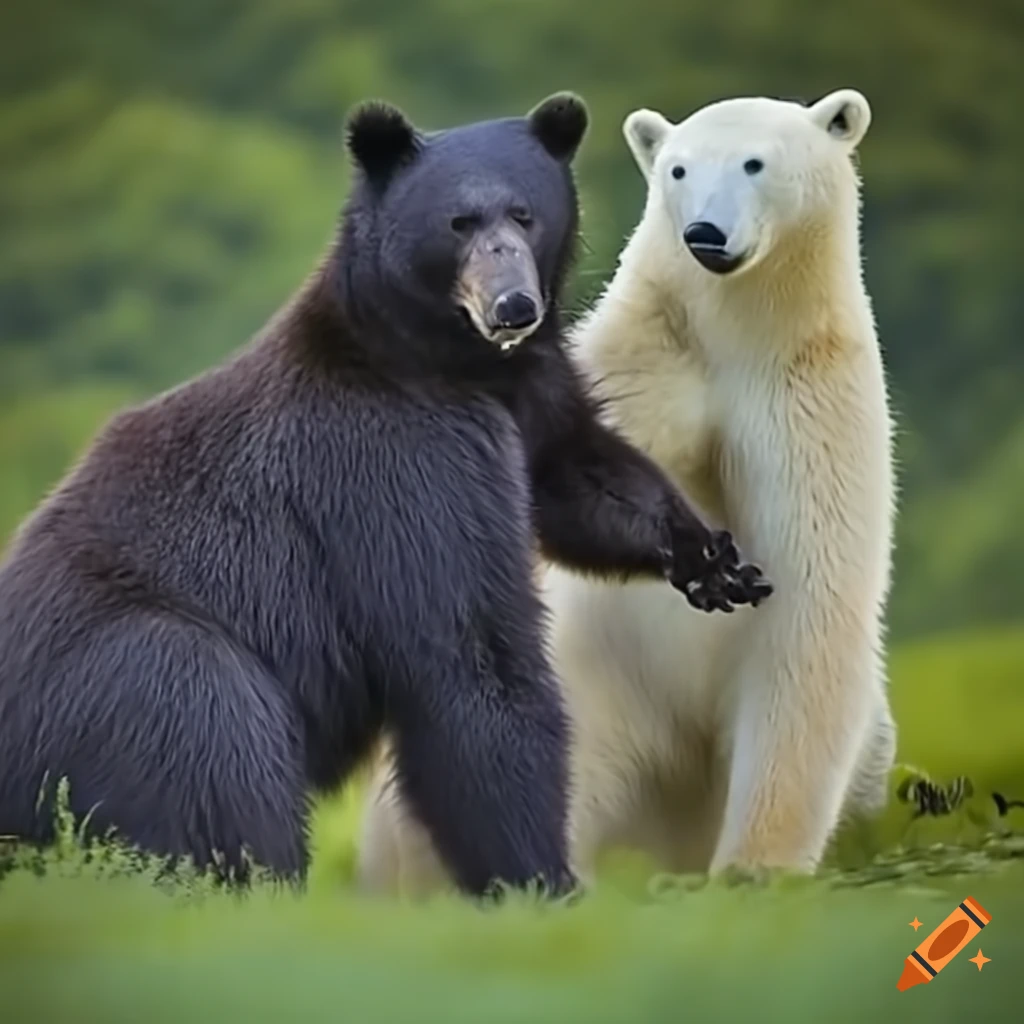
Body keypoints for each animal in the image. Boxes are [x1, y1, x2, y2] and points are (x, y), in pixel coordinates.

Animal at [0, 93, 770, 897]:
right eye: (458, 223)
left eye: (524, 215)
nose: (513, 305)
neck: (448, 362)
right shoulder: (394, 463)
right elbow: (470, 653)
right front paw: (542, 875)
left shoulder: (534, 400)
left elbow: (580, 474)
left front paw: (712, 560)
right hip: (126, 675)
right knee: (215, 742)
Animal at [357, 89, 896, 894]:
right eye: (677, 168)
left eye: (754, 162)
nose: (704, 234)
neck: (734, 333)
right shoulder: (640, 364)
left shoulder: (810, 398)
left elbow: (806, 621)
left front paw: (753, 868)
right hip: (599, 702)